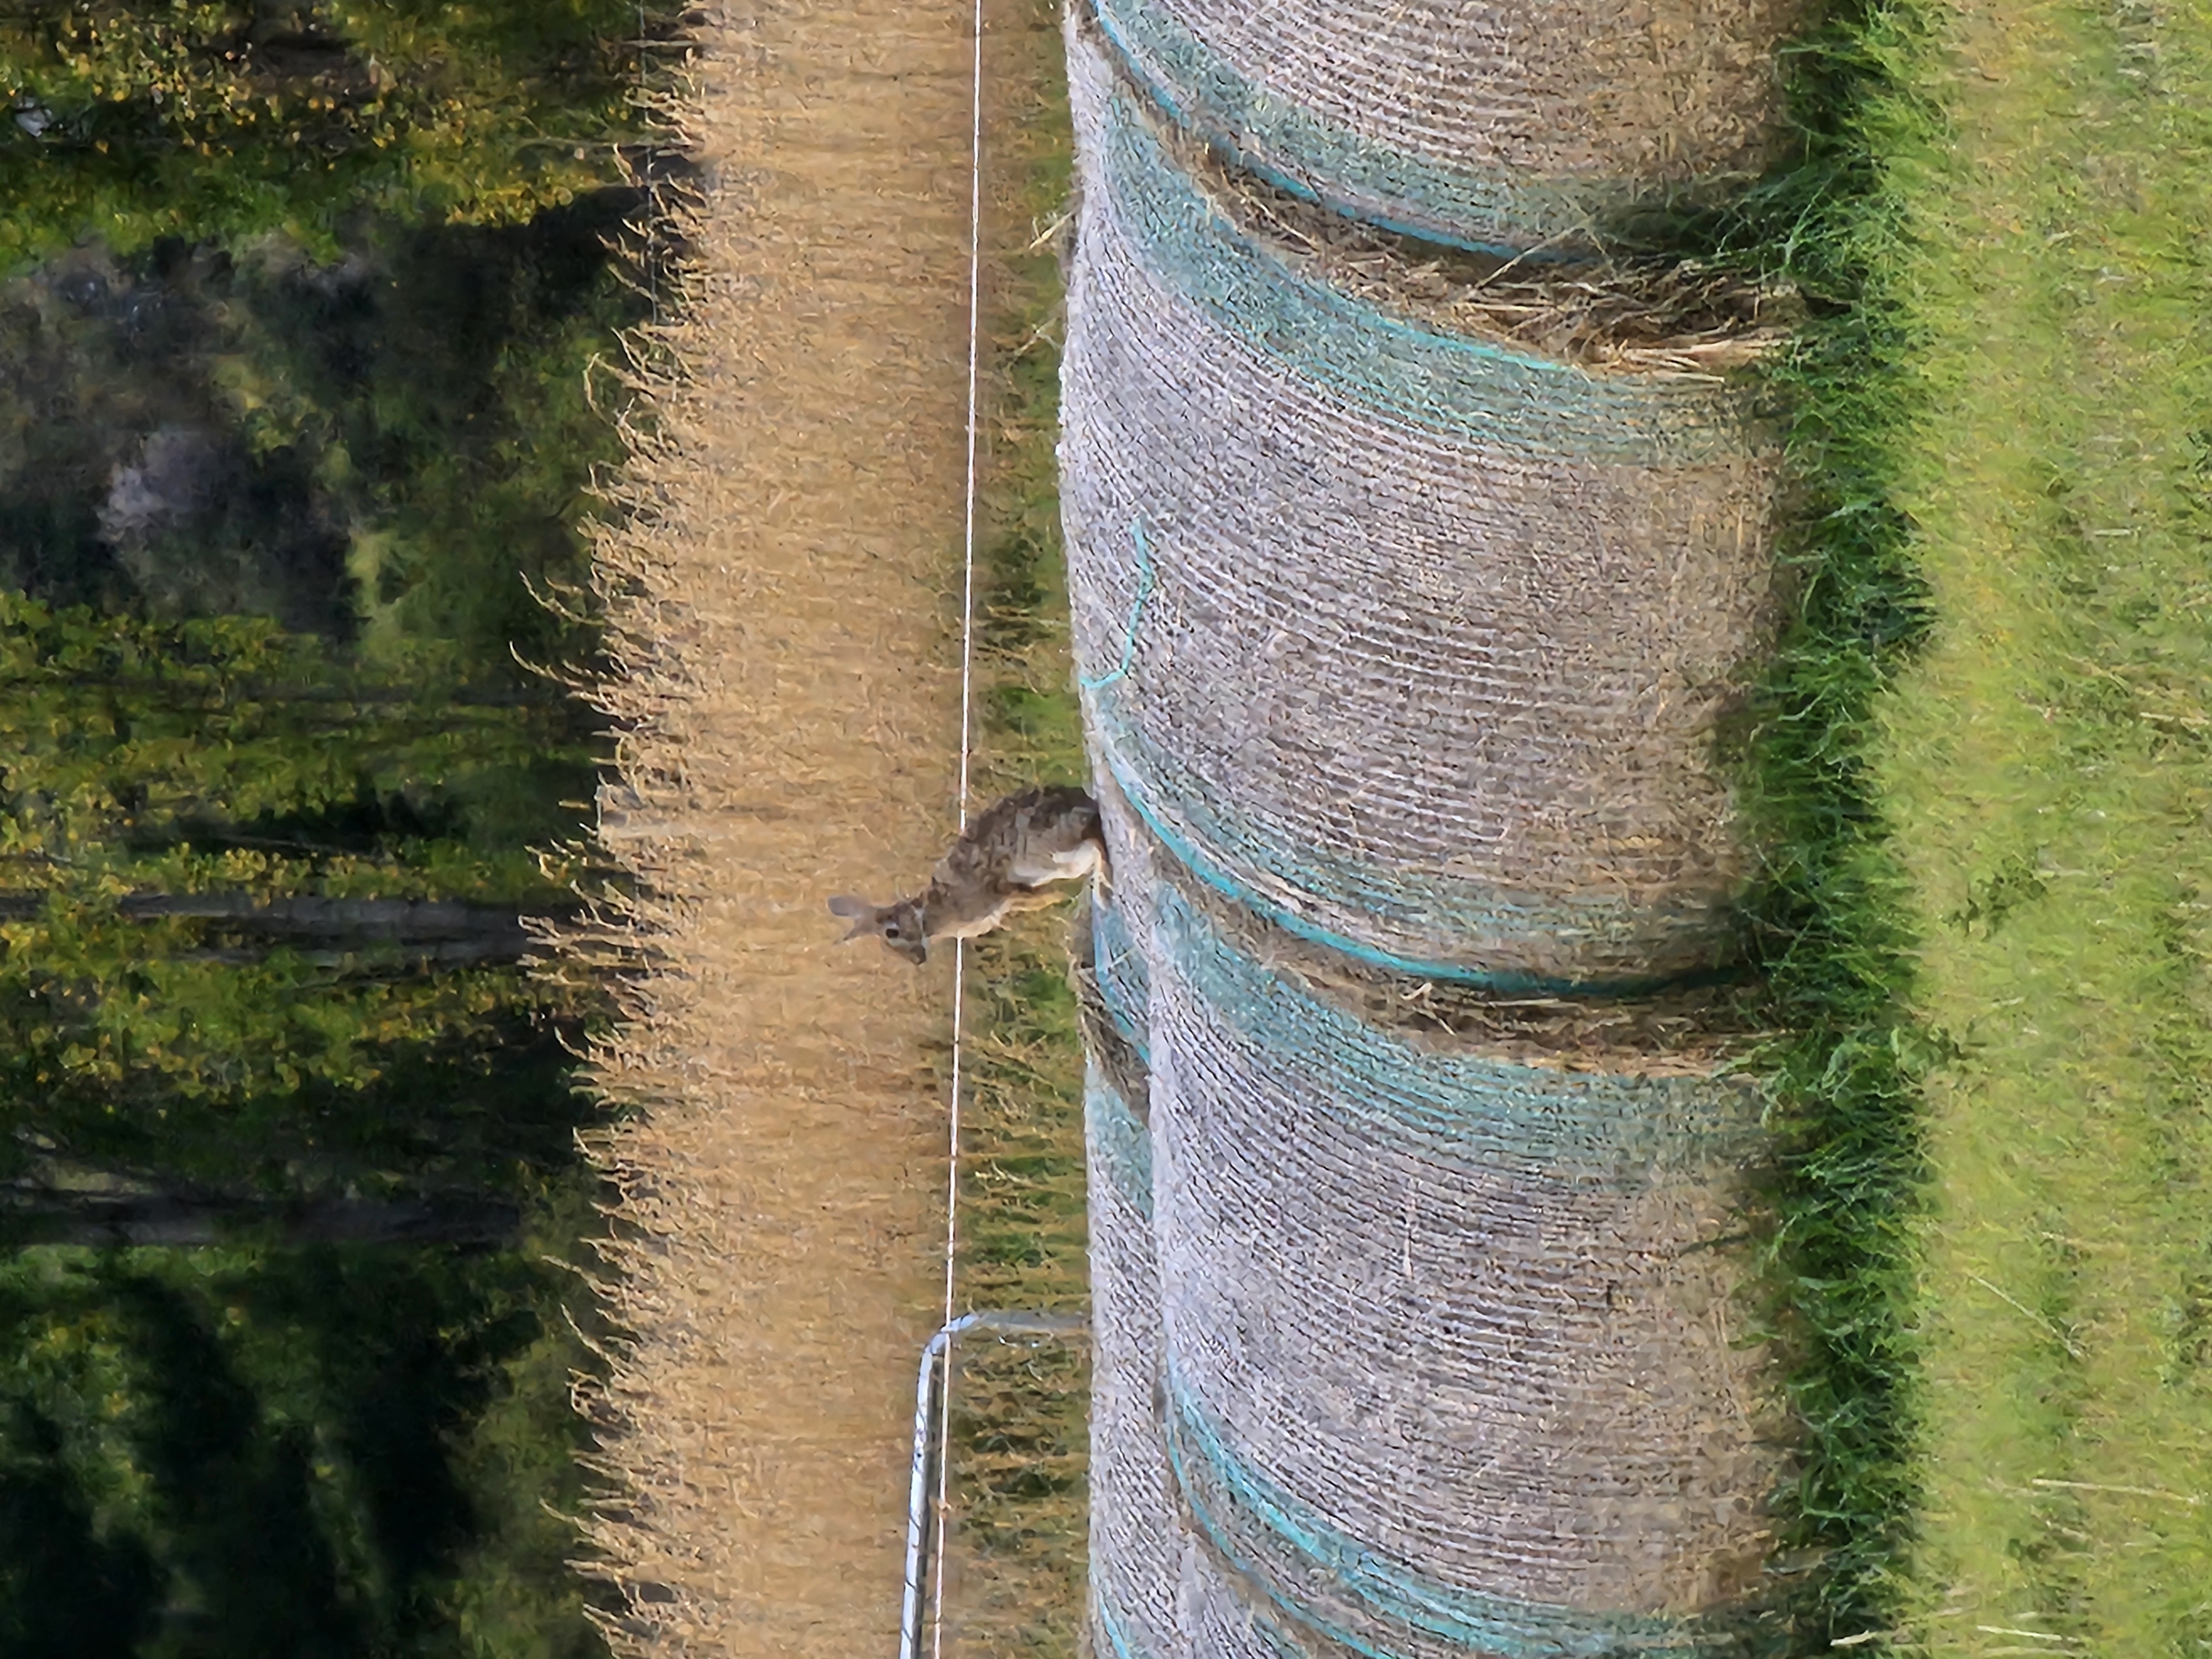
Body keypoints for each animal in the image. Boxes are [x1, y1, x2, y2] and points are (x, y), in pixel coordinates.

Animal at [829, 785, 1107, 965]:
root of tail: (1073, 800)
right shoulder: (1007, 900)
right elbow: (1034, 899)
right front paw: (1058, 899)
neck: (926, 916)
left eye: (892, 933)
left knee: (1094, 838)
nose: (918, 961)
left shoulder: (996, 893)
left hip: (1048, 848)